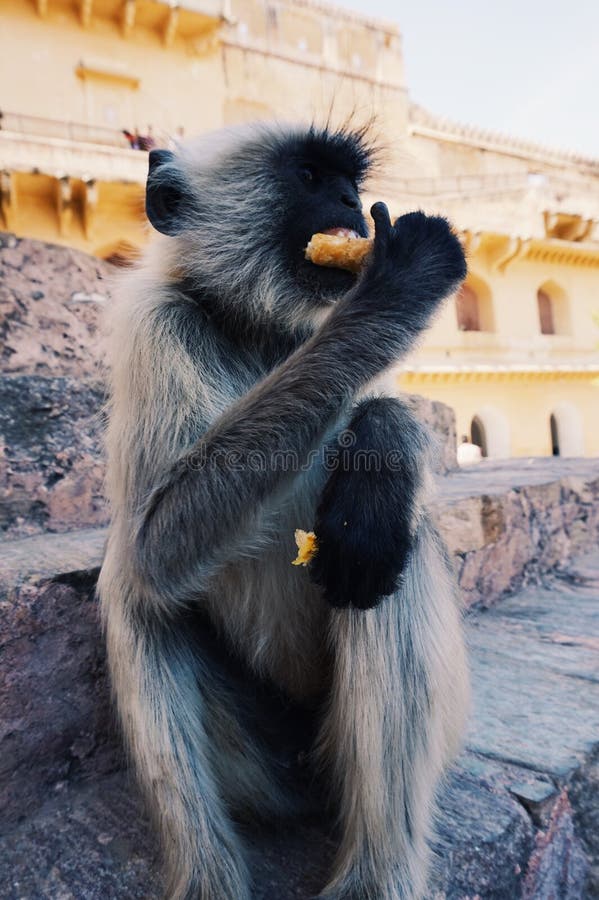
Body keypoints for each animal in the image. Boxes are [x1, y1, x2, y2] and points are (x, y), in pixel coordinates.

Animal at [97, 121, 470, 900]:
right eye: (308, 177)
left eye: (348, 183)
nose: (351, 204)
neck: (256, 329)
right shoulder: (157, 325)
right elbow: (154, 545)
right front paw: (394, 291)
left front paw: (383, 441)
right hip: (264, 763)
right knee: (131, 583)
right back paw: (208, 877)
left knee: (387, 550)